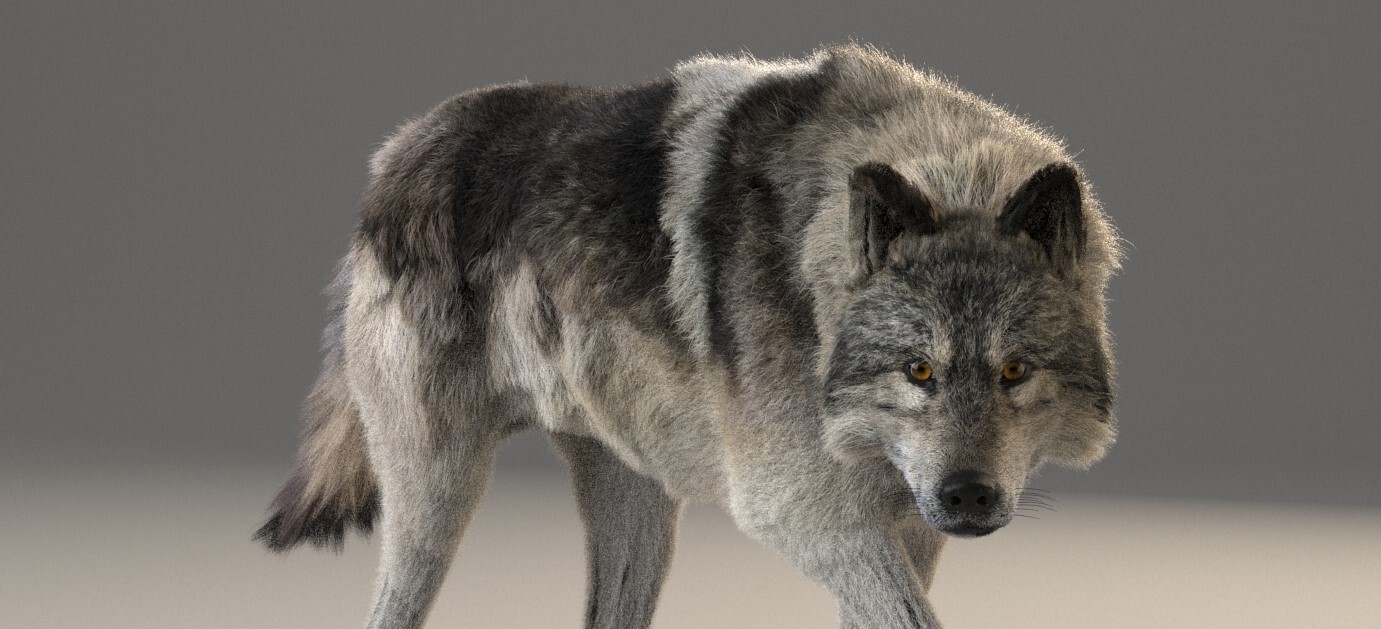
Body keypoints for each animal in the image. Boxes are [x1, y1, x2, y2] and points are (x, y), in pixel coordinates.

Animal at [255, 44, 1121, 629]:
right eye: (918, 371)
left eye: (1014, 370)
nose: (967, 494)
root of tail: (400, 147)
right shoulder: (805, 514)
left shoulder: (908, 528)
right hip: (435, 499)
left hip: (639, 512)